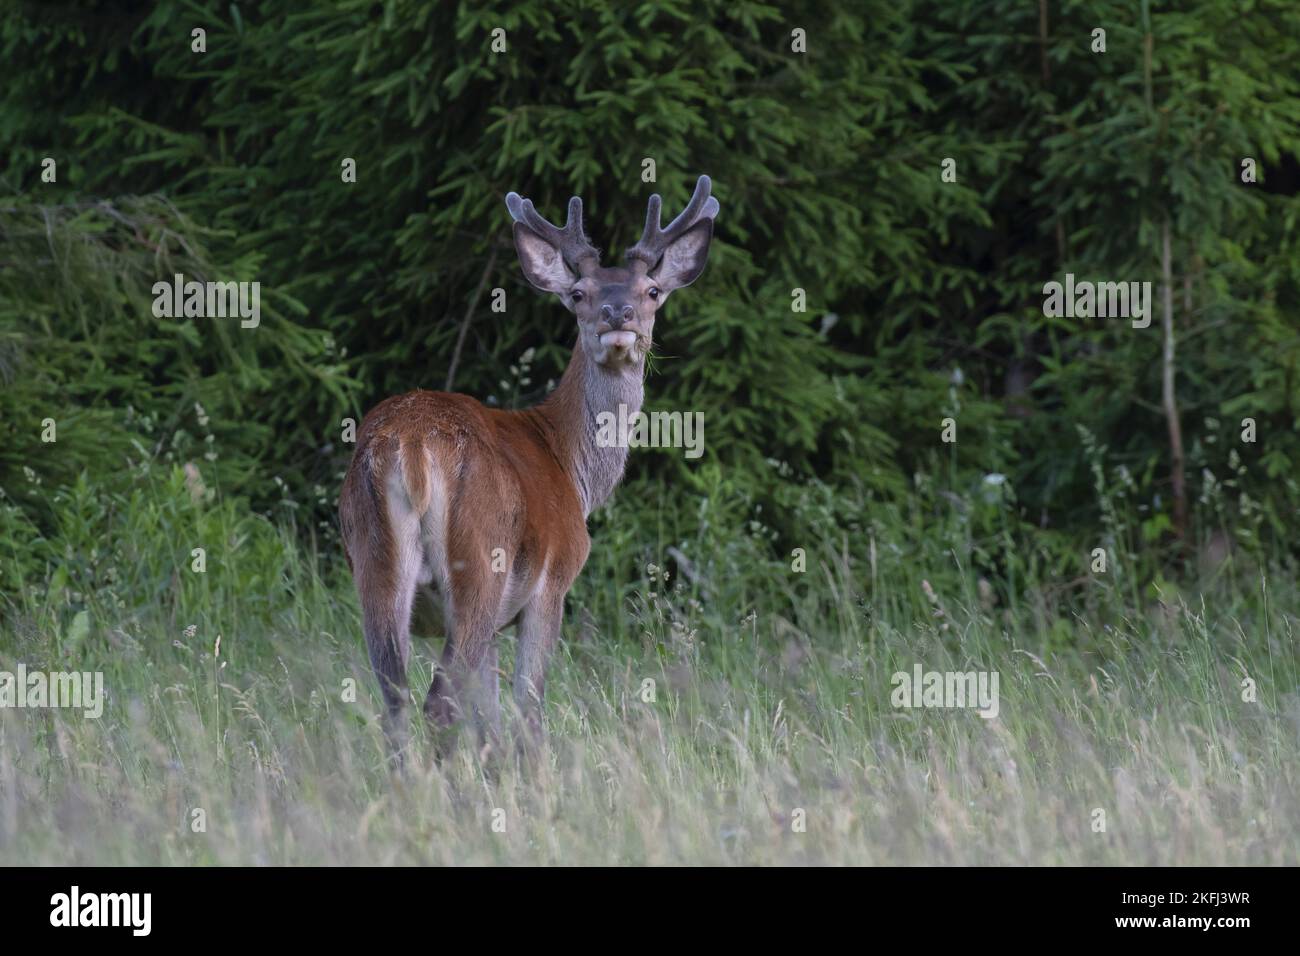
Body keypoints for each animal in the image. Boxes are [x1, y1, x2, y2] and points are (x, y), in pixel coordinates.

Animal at [339, 175, 718, 759]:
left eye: (651, 291)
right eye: (580, 295)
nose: (618, 315)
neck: (569, 464)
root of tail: (408, 446)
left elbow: (490, 724)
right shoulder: (552, 583)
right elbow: (528, 715)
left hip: (374, 565)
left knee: (396, 706)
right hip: (479, 563)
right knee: (438, 705)